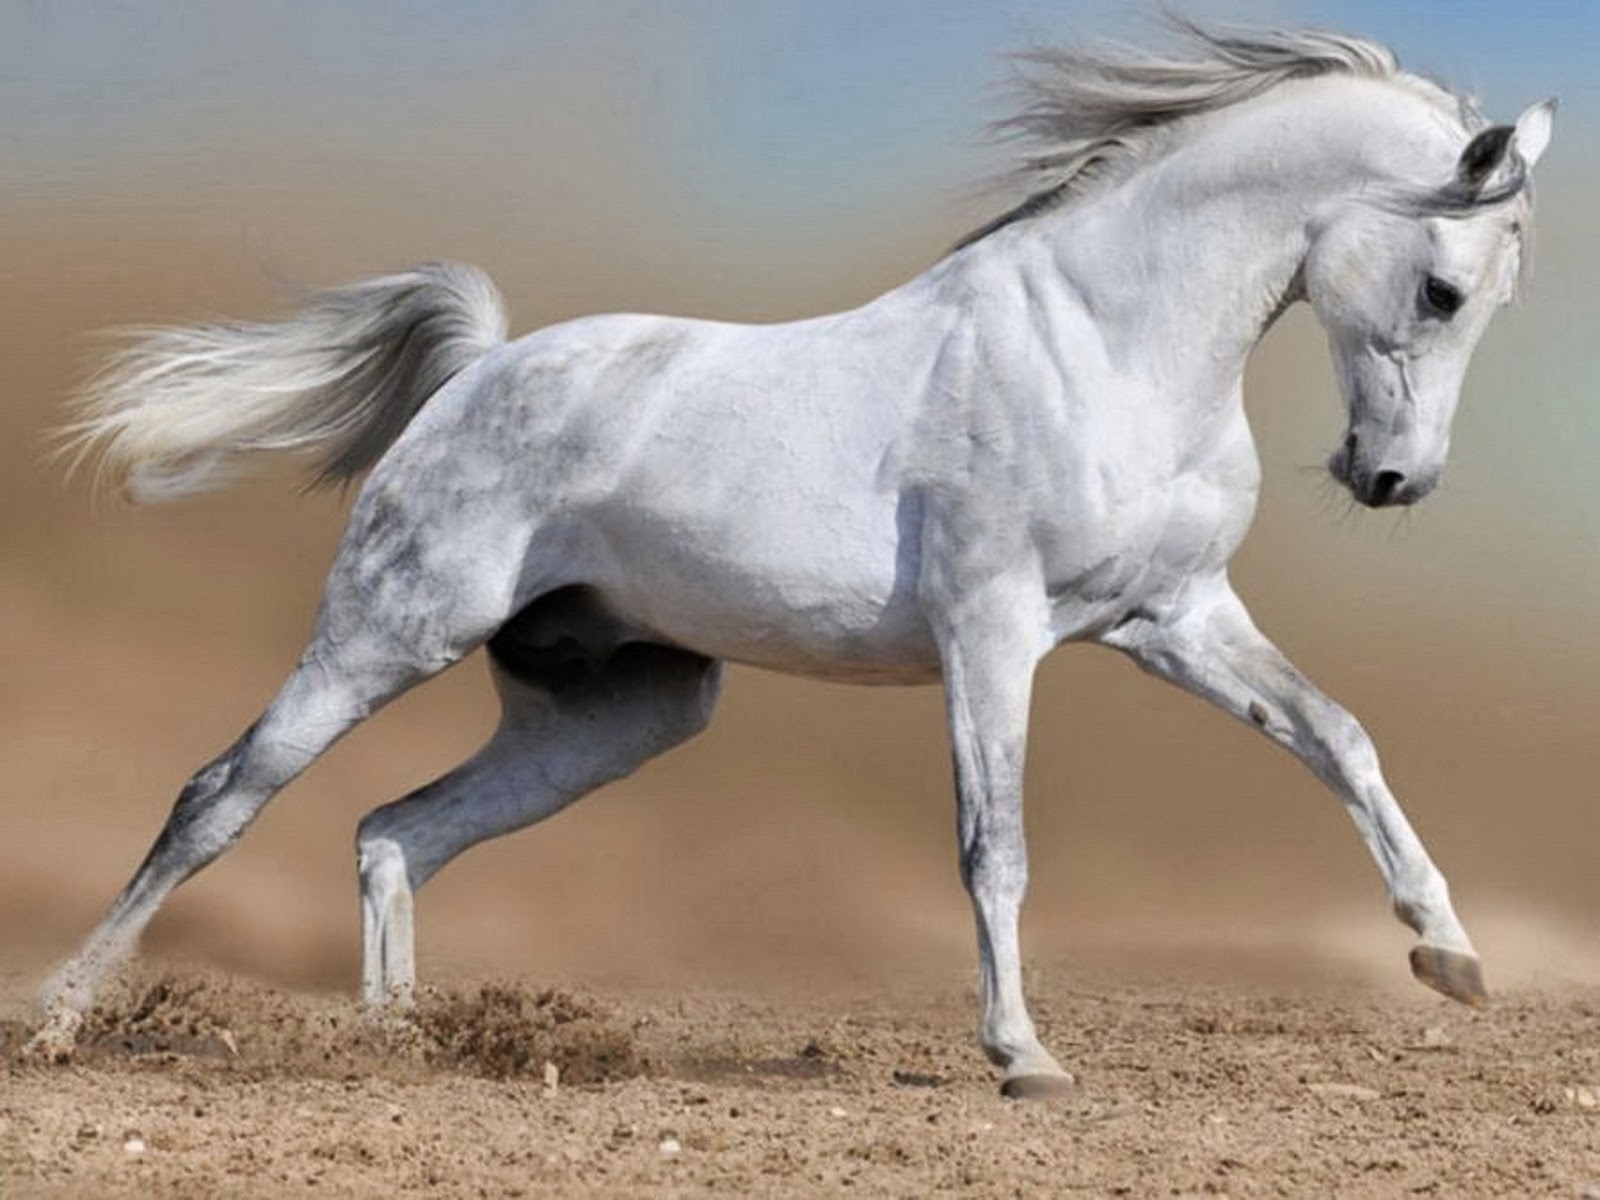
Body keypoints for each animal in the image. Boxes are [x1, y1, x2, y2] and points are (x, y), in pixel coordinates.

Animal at [35, 24, 1553, 1097]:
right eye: (1442, 290)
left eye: (1490, 298)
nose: (1392, 480)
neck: (1105, 342)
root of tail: (478, 372)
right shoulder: (991, 631)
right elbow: (995, 844)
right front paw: (1022, 1057)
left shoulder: (1171, 617)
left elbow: (1338, 738)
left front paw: (1450, 957)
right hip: (385, 632)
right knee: (220, 798)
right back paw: (59, 1020)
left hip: (620, 711)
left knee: (395, 832)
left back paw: (399, 1047)